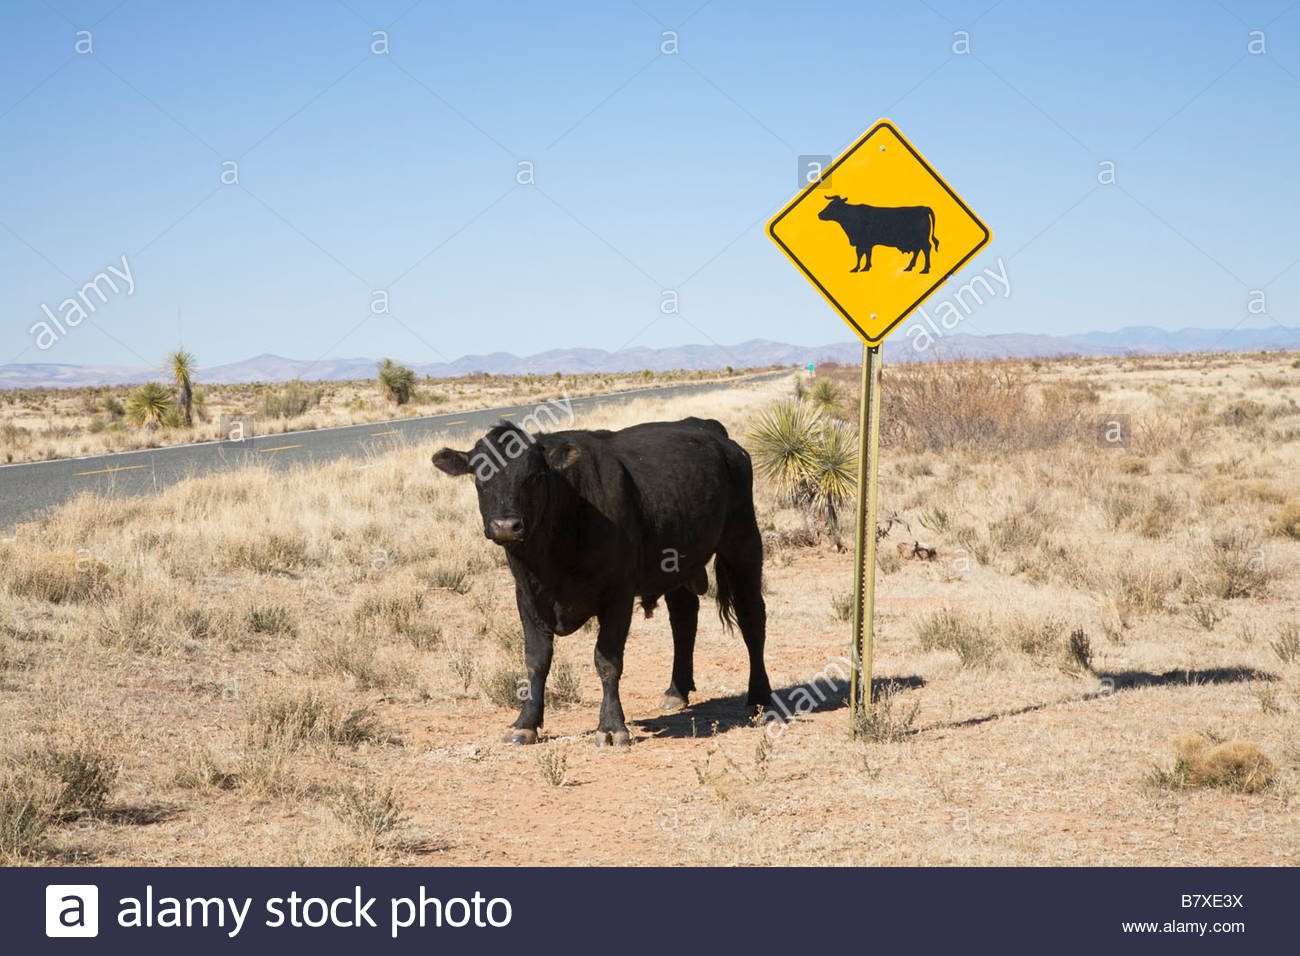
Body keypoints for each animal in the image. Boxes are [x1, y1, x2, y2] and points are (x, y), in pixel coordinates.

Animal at [432, 417, 772, 747]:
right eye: (480, 478)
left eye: (535, 476)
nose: (506, 526)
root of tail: (712, 430)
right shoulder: (527, 597)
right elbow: (536, 660)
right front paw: (524, 724)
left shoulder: (618, 594)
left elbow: (607, 660)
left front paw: (611, 726)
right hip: (679, 566)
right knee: (684, 620)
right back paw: (677, 691)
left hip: (743, 544)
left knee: (752, 617)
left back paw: (760, 697)